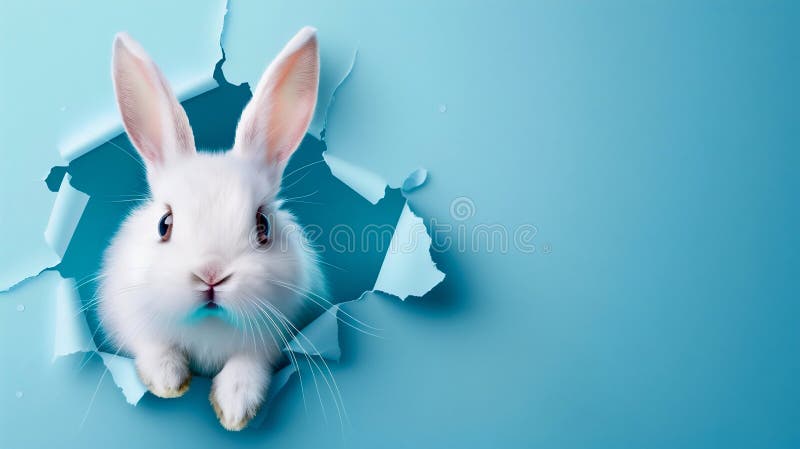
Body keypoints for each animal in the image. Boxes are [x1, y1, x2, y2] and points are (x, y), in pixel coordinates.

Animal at [98, 26, 324, 431]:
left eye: (263, 225)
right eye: (164, 224)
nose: (211, 275)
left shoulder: (275, 336)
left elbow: (250, 363)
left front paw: (234, 408)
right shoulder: (129, 317)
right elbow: (153, 345)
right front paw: (168, 381)